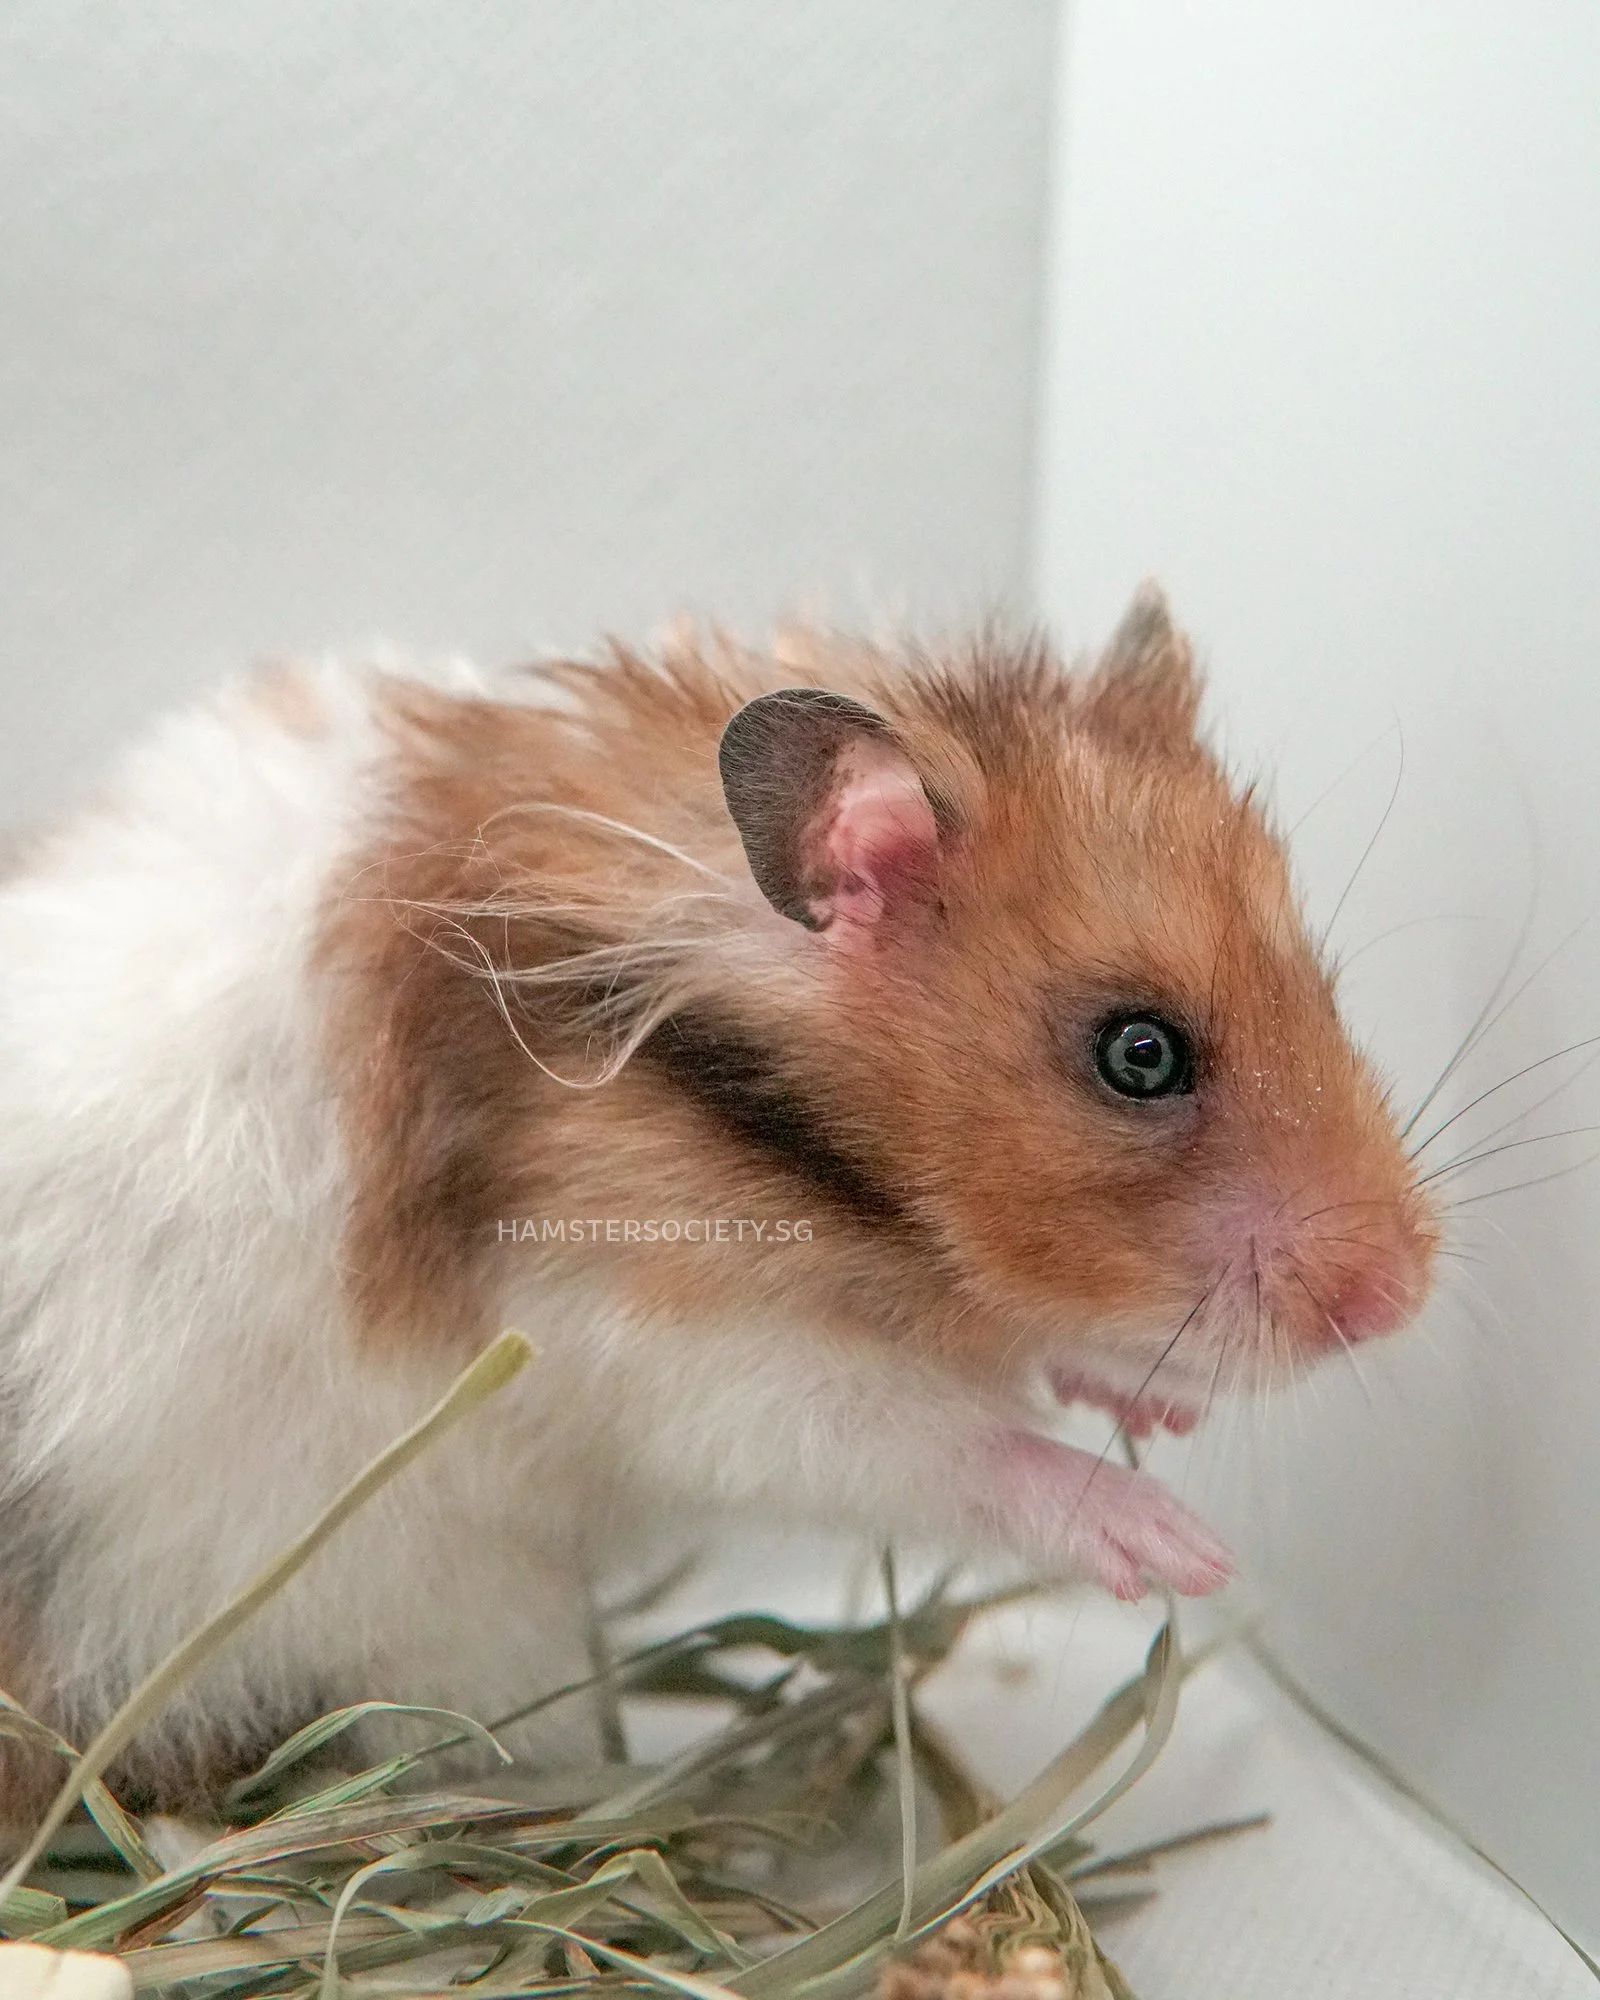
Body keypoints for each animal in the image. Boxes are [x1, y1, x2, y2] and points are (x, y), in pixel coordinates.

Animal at [0, 588, 1437, 1815]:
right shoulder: (653, 1335)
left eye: (1321, 981)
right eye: (1139, 1053)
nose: (1401, 1298)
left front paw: (1159, 1407)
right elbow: (926, 1438)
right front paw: (1178, 1547)